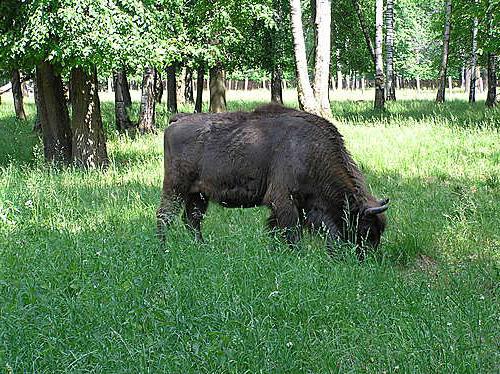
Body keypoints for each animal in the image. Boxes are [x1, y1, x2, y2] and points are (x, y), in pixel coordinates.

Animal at [155, 104, 386, 258]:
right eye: (366, 228)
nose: (367, 258)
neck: (312, 150)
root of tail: (177, 120)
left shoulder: (307, 205)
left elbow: (281, 229)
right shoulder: (285, 201)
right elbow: (291, 232)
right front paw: (297, 255)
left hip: (198, 195)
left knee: (191, 220)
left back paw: (201, 247)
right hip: (175, 188)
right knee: (164, 216)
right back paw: (163, 249)